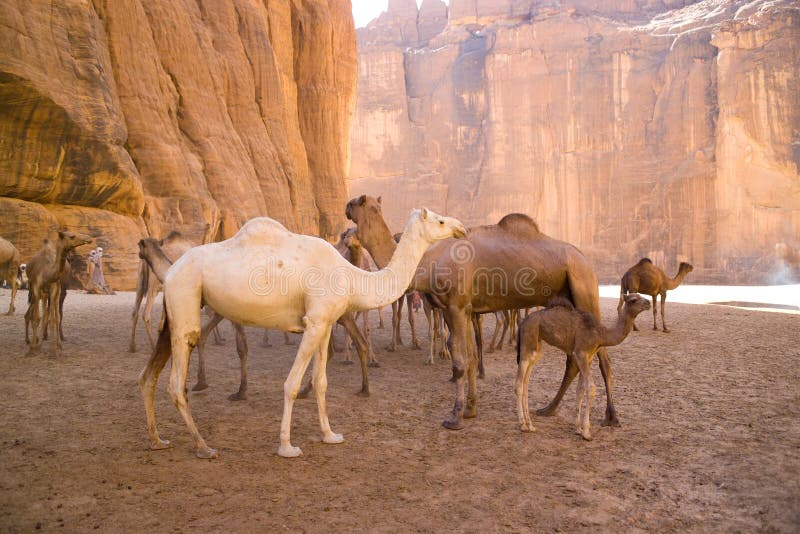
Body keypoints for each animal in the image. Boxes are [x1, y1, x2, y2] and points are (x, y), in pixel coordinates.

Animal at [138, 209, 466, 459]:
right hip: (185, 298)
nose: (461, 227)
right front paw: (286, 446)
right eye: (439, 221)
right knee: (175, 382)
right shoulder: (316, 321)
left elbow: (320, 383)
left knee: (147, 375)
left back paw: (157, 440)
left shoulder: (324, 323)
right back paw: (203, 446)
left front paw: (330, 435)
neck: (352, 277)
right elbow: (292, 383)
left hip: (173, 310)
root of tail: (170, 271)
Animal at [346, 195, 616, 431]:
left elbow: (459, 361)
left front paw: (454, 417)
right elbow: (472, 358)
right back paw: (549, 408)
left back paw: (610, 417)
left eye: (360, 201)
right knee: (573, 360)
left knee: (603, 356)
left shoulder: (455, 307)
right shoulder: (464, 309)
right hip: (566, 302)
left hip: (584, 290)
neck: (429, 261)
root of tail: (586, 261)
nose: (347, 206)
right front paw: (470, 409)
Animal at [516, 294, 651, 440]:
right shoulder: (580, 353)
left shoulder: (589, 357)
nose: (648, 303)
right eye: (633, 300)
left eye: (640, 295)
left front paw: (578, 429)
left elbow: (580, 390)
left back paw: (530, 425)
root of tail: (522, 323)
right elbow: (591, 387)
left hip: (536, 345)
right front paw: (586, 432)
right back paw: (523, 425)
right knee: (519, 383)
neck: (601, 334)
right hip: (528, 340)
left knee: (526, 382)